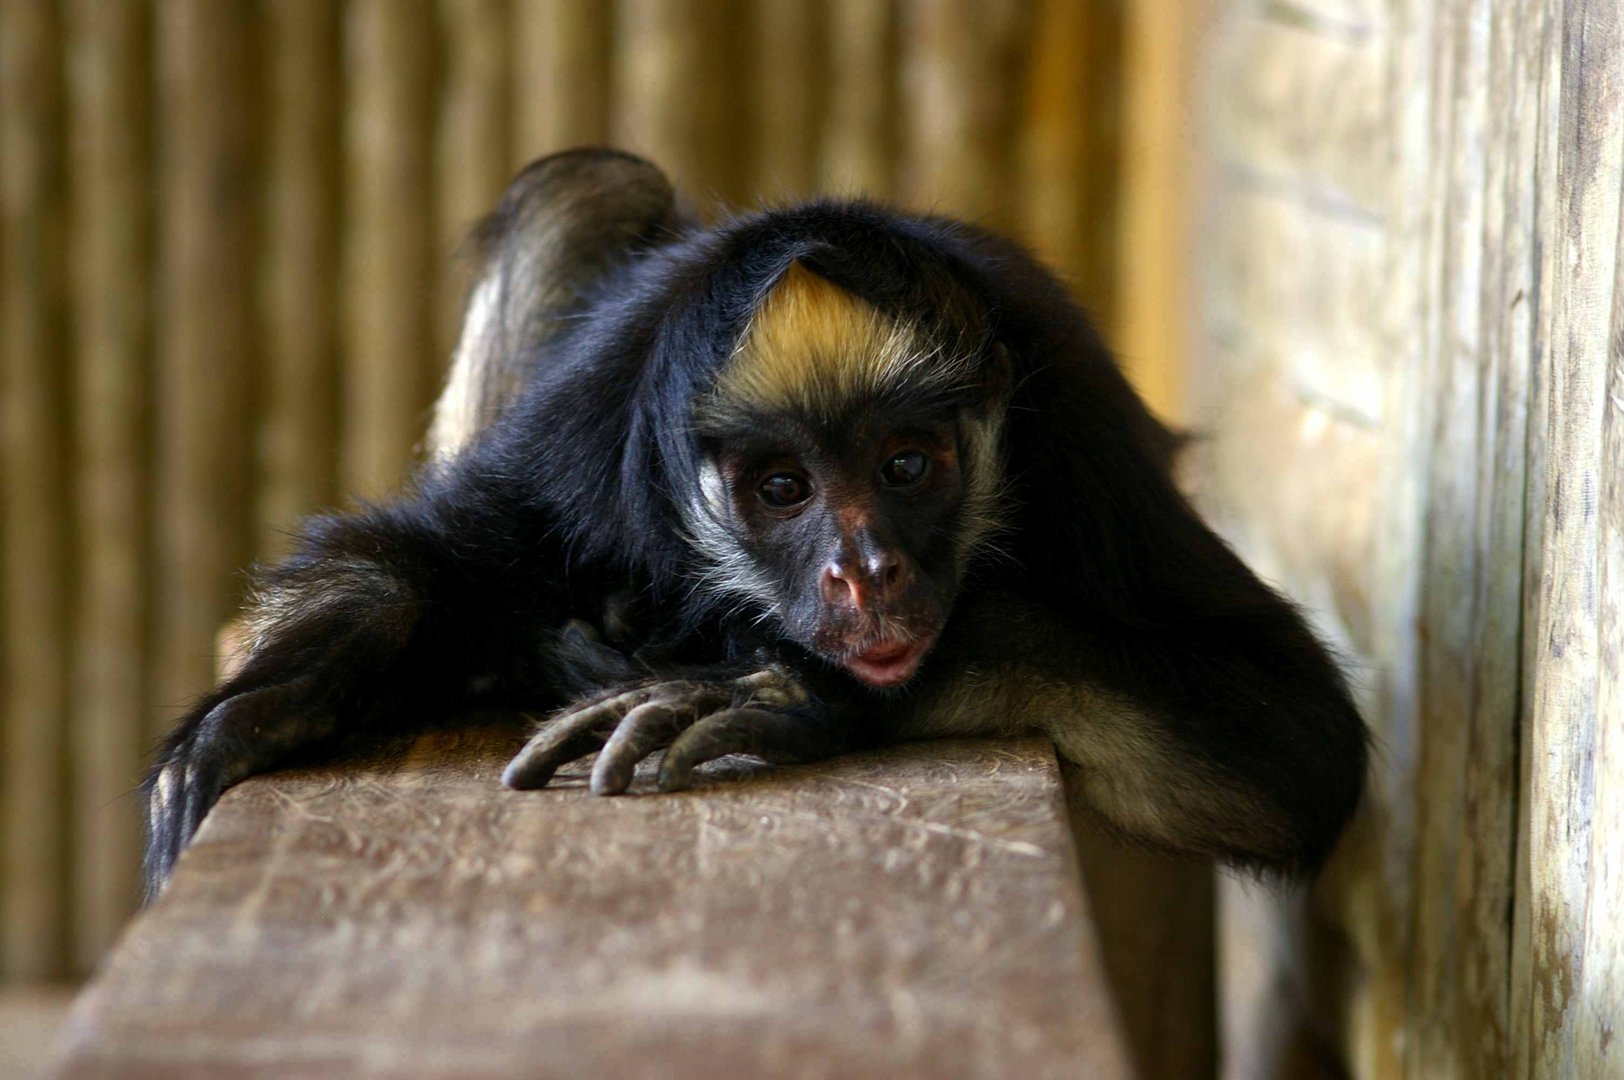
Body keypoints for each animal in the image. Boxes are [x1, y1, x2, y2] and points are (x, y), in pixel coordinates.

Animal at [142, 148, 1368, 896]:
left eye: (907, 467)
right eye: (784, 490)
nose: (864, 572)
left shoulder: (1071, 416)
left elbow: (1295, 749)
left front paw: (781, 692)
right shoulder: (600, 404)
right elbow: (422, 567)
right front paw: (262, 710)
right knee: (592, 186)